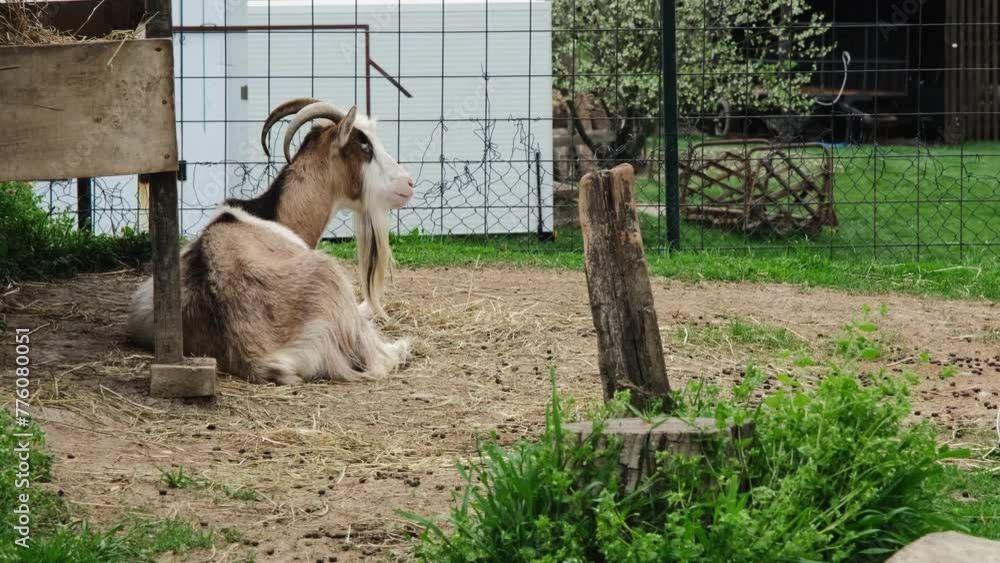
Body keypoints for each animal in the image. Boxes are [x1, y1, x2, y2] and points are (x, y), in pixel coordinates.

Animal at [127, 100, 414, 384]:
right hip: (330, 278)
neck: (271, 215)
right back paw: (401, 348)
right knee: (377, 357)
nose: (409, 182)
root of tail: (257, 356)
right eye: (365, 146)